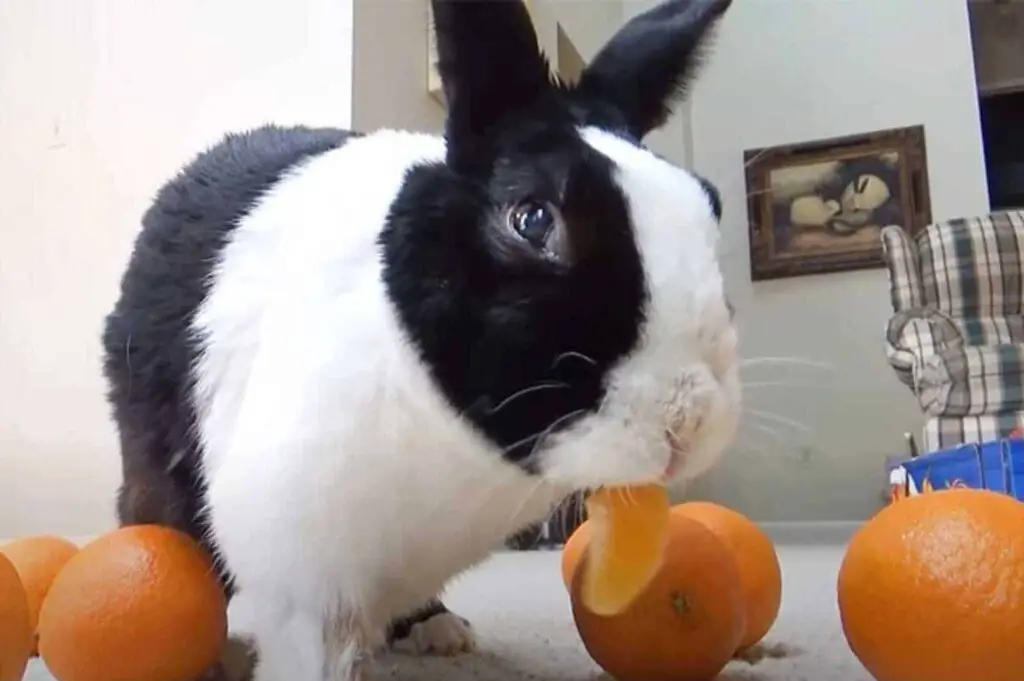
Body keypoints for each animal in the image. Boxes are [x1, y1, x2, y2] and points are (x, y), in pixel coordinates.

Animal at [99, 0, 739, 680]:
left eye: (710, 203)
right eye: (532, 219)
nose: (687, 421)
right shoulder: (302, 558)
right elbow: (312, 648)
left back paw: (438, 630)